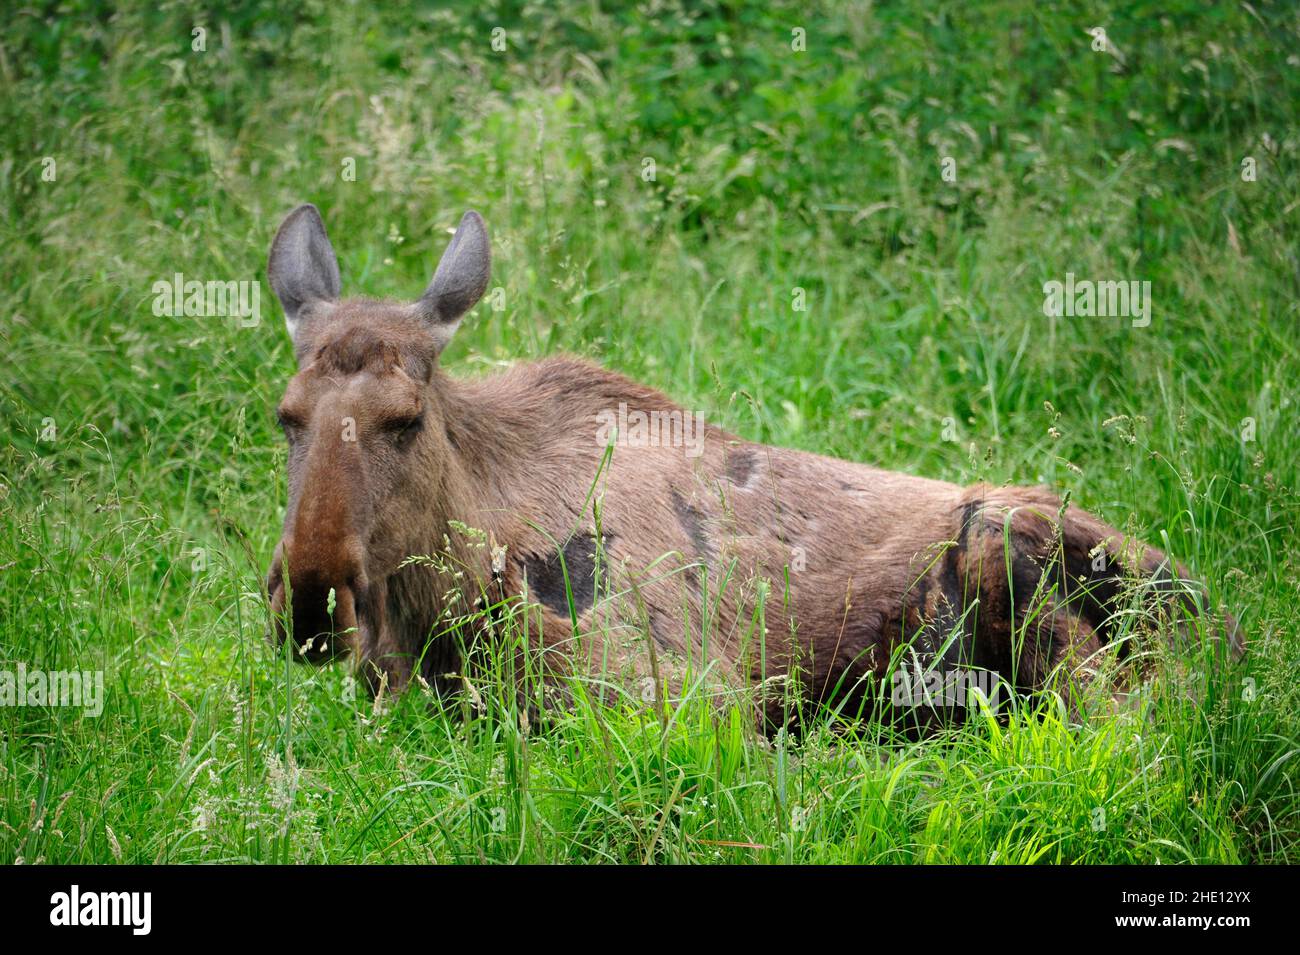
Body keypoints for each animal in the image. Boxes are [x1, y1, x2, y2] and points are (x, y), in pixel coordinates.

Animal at [264, 204, 1242, 732]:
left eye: (405, 420)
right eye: (286, 416)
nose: (310, 592)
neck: (451, 587)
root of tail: (1232, 627)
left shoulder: (688, 691)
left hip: (1020, 563)